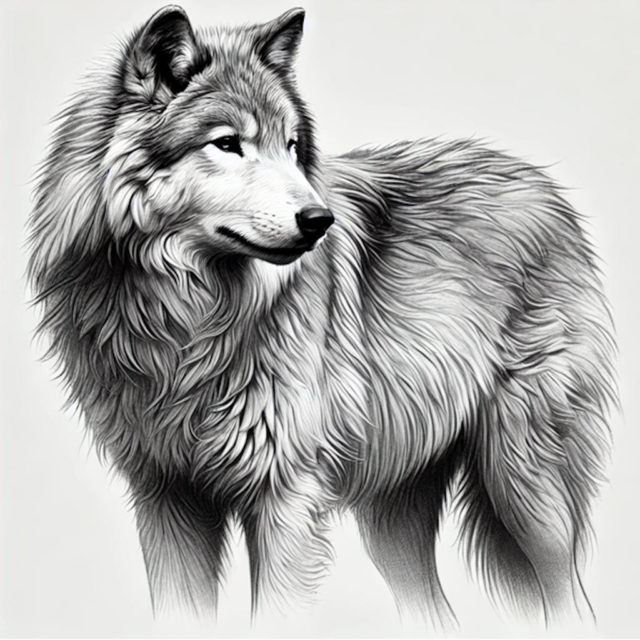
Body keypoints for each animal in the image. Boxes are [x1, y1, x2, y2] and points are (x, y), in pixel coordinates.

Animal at [28, 5, 616, 626]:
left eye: (291, 146)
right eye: (227, 143)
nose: (318, 220)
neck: (184, 322)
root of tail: (543, 184)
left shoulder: (285, 494)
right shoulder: (166, 497)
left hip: (523, 489)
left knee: (571, 597)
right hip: (394, 519)